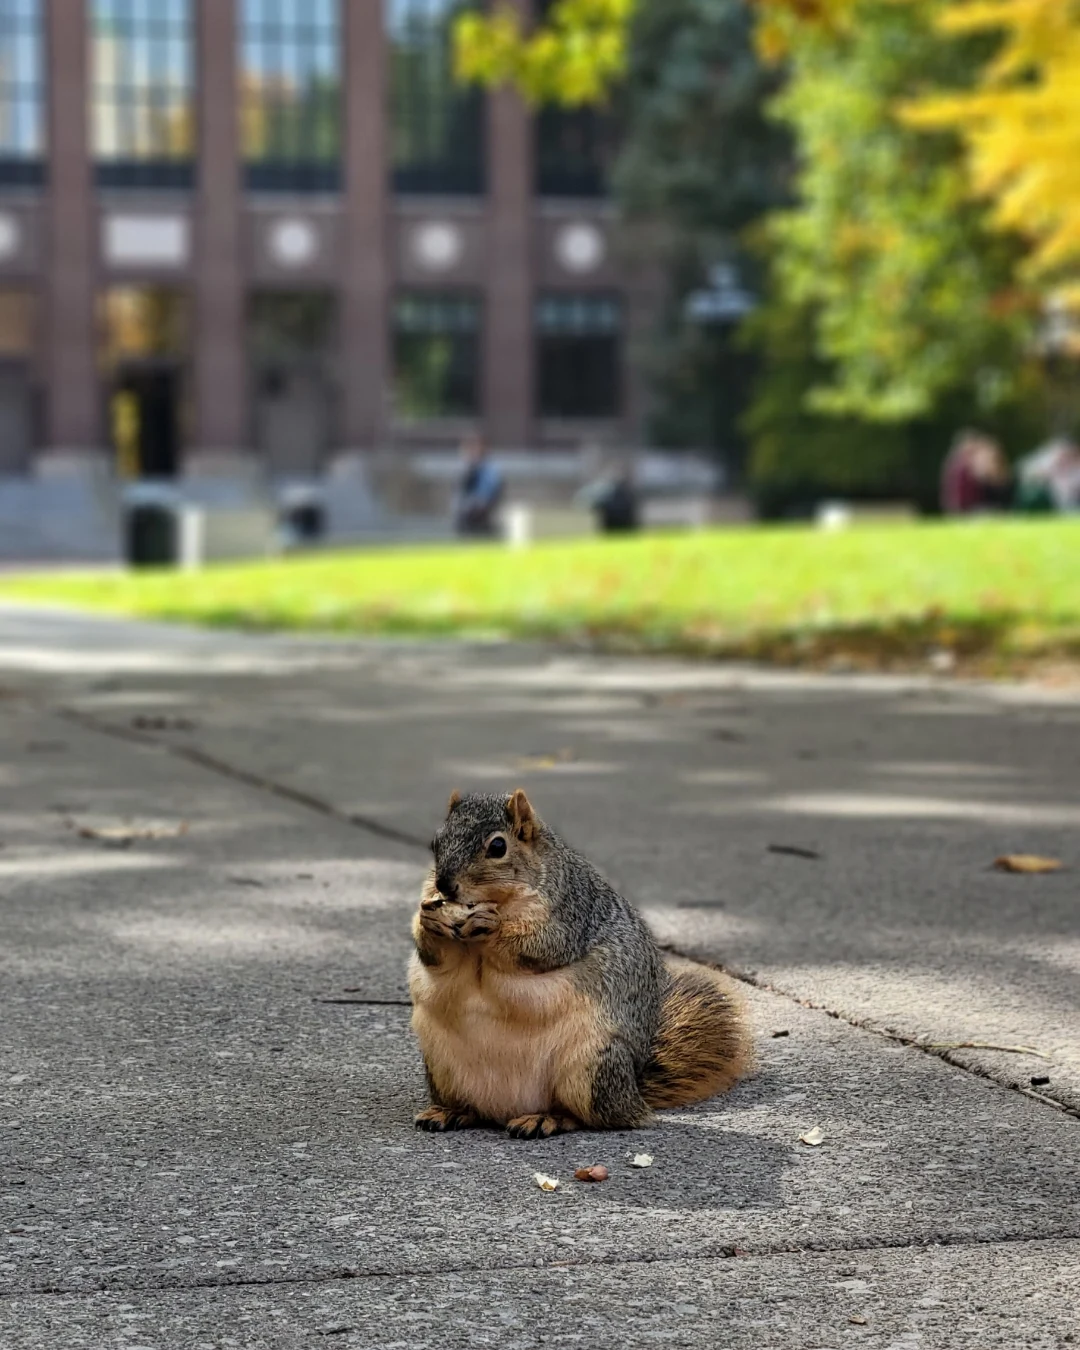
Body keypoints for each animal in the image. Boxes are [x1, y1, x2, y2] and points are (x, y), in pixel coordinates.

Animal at [409, 788, 753, 1138]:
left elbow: (540, 946)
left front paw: (490, 924)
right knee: (473, 1108)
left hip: (589, 1068)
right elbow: (434, 957)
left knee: (588, 1117)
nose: (445, 885)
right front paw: (428, 921)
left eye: (497, 847)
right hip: (440, 1065)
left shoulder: (570, 912)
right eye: (436, 841)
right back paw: (451, 1111)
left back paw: (546, 1118)